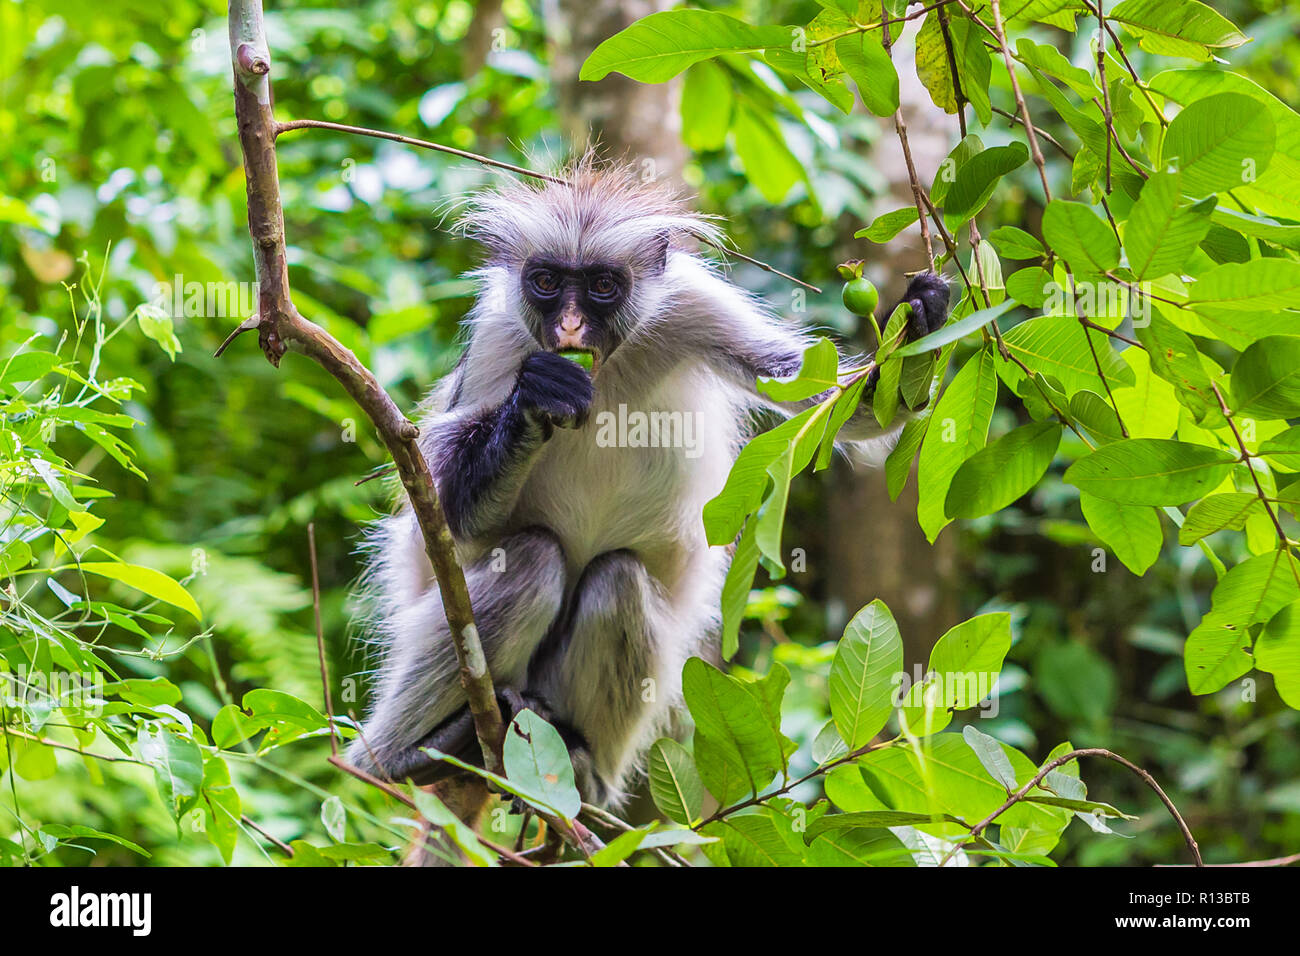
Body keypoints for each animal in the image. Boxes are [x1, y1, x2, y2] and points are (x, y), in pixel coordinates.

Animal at [348, 159, 949, 810]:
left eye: (602, 285)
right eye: (546, 282)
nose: (569, 325)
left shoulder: (693, 303)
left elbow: (835, 403)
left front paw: (925, 315)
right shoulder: (497, 334)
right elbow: (449, 515)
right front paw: (533, 403)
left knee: (617, 579)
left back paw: (580, 765)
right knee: (531, 557)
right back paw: (398, 759)